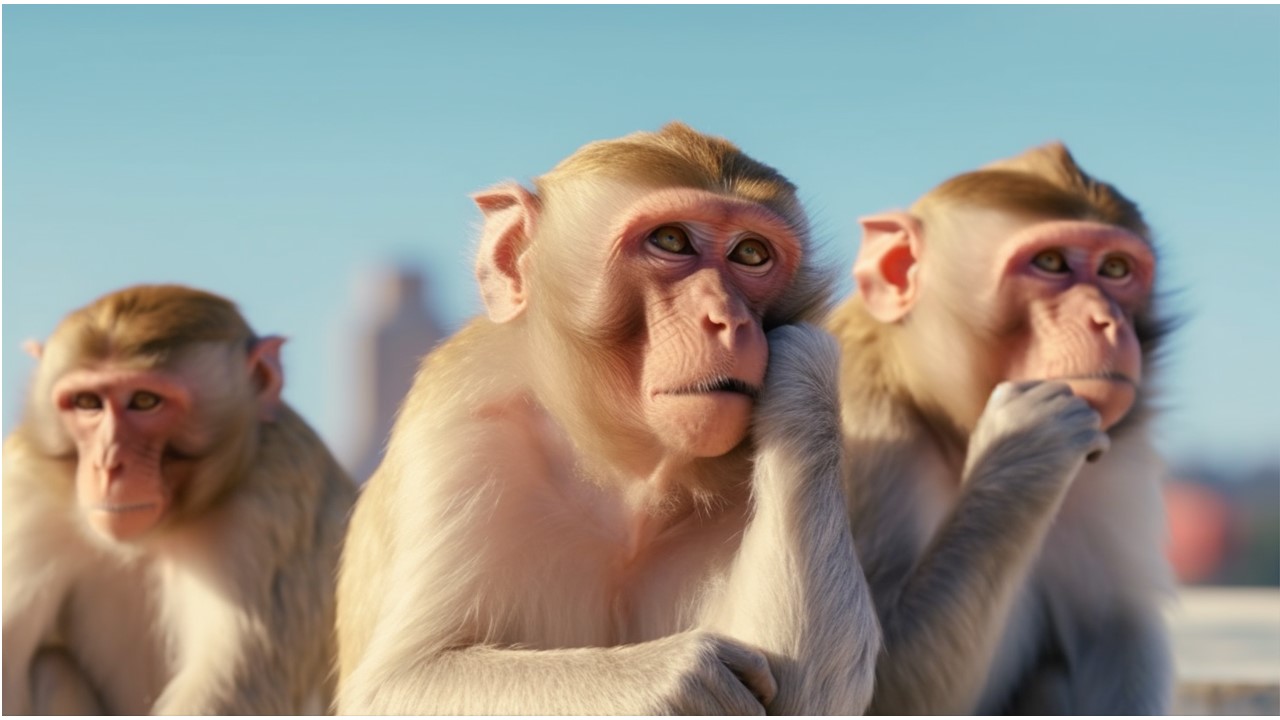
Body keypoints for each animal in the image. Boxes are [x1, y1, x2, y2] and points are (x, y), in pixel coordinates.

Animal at [2, 284, 357, 715]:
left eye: (144, 401)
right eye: (87, 402)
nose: (107, 464)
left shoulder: (275, 498)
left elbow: (241, 688)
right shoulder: (24, 491)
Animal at [335, 123, 880, 715]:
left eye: (751, 253)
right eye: (671, 241)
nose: (730, 319)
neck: (625, 478)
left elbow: (803, 693)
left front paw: (805, 357)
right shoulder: (466, 433)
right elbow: (399, 683)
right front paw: (681, 680)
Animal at [827, 142, 1175, 714]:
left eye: (1116, 269)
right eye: (1051, 262)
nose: (1108, 322)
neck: (948, 427)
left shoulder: (1113, 456)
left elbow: (1115, 629)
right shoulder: (863, 430)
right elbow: (872, 685)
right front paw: (1026, 450)